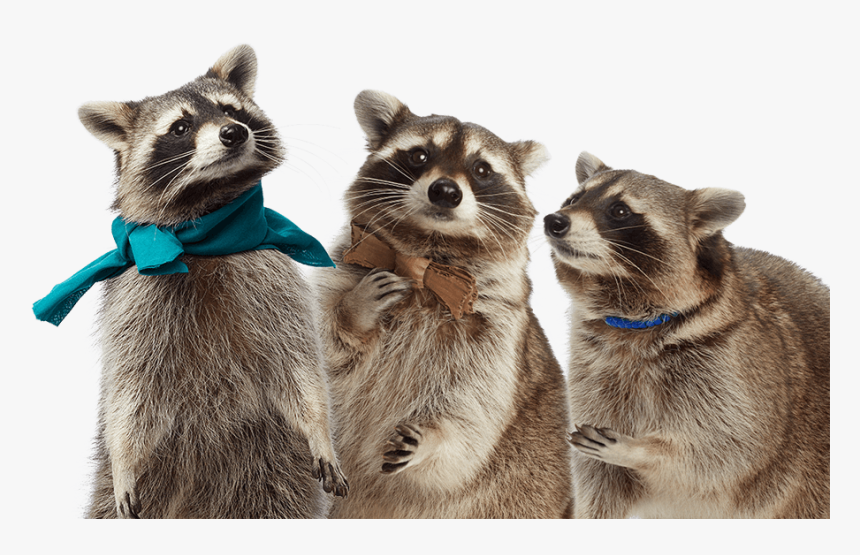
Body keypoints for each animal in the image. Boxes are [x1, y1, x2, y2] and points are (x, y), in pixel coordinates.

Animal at [76, 45, 346, 518]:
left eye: (230, 110)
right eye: (181, 127)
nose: (234, 133)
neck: (206, 228)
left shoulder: (272, 275)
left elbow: (299, 365)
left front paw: (318, 428)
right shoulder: (134, 297)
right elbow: (128, 390)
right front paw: (126, 458)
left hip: (269, 470)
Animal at [313, 90, 573, 518]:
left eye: (482, 169)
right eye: (419, 155)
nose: (446, 191)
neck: (429, 267)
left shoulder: (499, 329)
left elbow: (470, 415)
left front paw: (431, 439)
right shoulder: (342, 266)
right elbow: (323, 354)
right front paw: (355, 311)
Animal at [545, 152, 829, 518]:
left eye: (620, 210)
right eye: (573, 200)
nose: (554, 220)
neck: (629, 322)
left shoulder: (732, 362)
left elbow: (730, 450)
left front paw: (641, 450)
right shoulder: (593, 367)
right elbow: (598, 484)